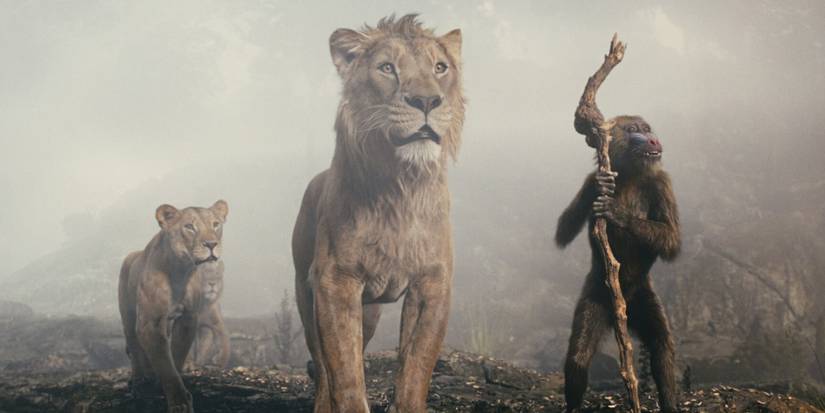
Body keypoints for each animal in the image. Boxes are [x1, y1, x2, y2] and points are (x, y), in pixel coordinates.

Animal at [118, 200, 228, 413]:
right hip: (128, 316)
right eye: (190, 227)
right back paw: (139, 383)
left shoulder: (188, 318)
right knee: (134, 348)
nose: (211, 244)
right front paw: (179, 403)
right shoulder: (149, 323)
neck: (180, 271)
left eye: (216, 224)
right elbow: (164, 364)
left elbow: (176, 357)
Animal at [292, 14, 464, 413]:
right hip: (306, 293)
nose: (426, 100)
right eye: (387, 68)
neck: (401, 187)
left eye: (440, 67)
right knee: (322, 363)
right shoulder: (335, 281)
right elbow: (344, 371)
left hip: (368, 309)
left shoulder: (432, 283)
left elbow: (416, 365)